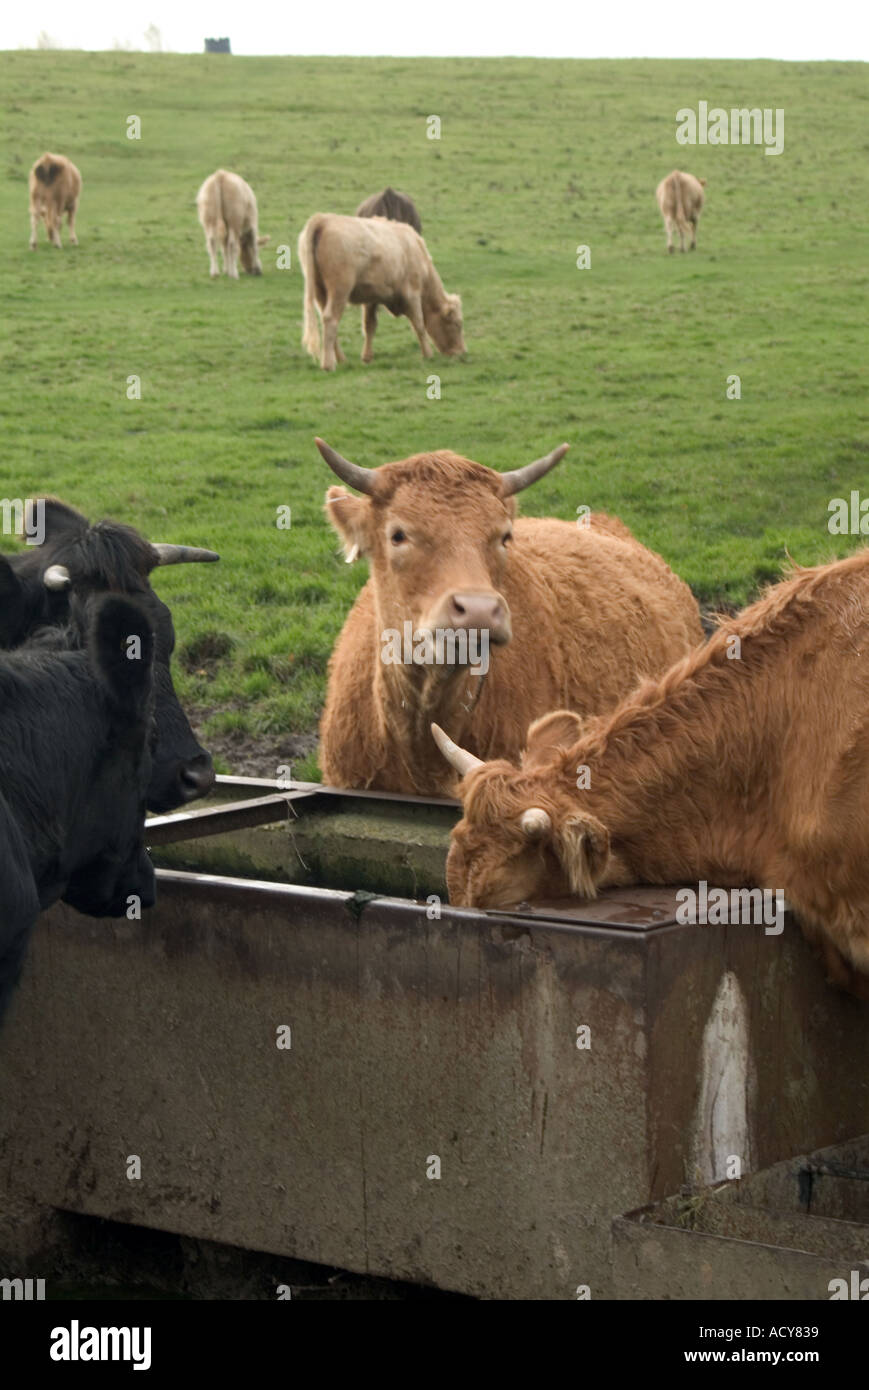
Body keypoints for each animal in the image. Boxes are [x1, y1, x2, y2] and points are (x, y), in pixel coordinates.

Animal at [298, 214, 465, 370]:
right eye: (456, 324)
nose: (462, 352)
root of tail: (324, 219)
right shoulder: (412, 294)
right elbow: (419, 324)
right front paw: (428, 354)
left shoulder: (371, 299)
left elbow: (370, 326)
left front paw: (367, 357)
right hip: (339, 289)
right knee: (331, 319)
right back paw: (329, 364)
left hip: (321, 292)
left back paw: (341, 359)